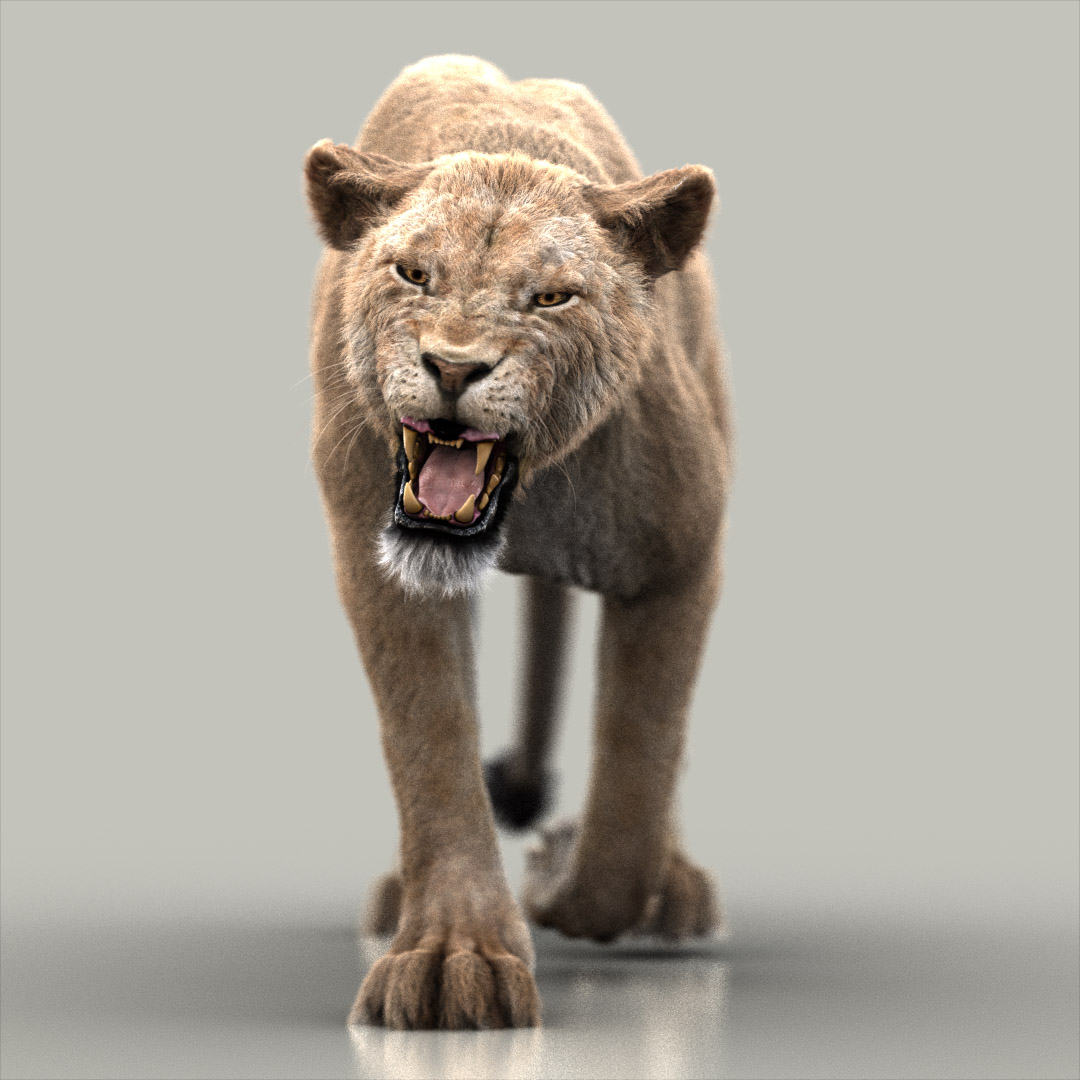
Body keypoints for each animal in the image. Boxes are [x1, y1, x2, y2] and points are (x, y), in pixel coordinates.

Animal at [304, 55, 733, 1030]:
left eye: (551, 296)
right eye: (414, 274)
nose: (454, 368)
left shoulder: (682, 553)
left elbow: (640, 764)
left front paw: (563, 881)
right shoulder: (384, 571)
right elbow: (431, 745)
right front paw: (451, 956)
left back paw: (672, 890)